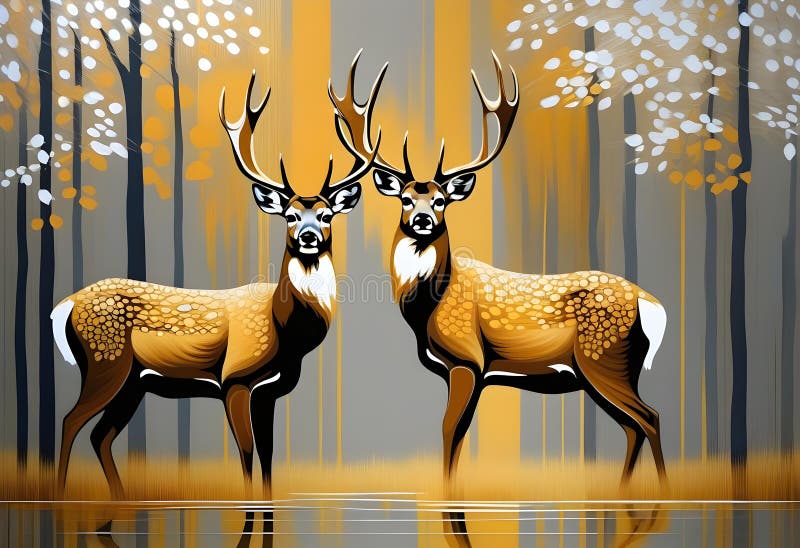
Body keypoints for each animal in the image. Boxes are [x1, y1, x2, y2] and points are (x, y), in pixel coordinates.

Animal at [52, 64, 384, 500]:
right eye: (290, 216)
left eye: (327, 215)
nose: (309, 236)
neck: (284, 329)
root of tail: (66, 304)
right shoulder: (234, 380)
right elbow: (245, 455)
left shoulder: (270, 391)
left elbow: (268, 458)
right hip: (104, 361)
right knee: (70, 422)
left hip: (132, 384)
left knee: (100, 435)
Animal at [331, 52, 668, 486]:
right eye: (405, 198)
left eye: (441, 200)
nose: (422, 219)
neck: (429, 306)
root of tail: (650, 303)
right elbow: (458, 435)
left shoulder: (468, 360)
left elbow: (449, 430)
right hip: (610, 367)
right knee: (632, 425)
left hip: (604, 356)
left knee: (649, 417)